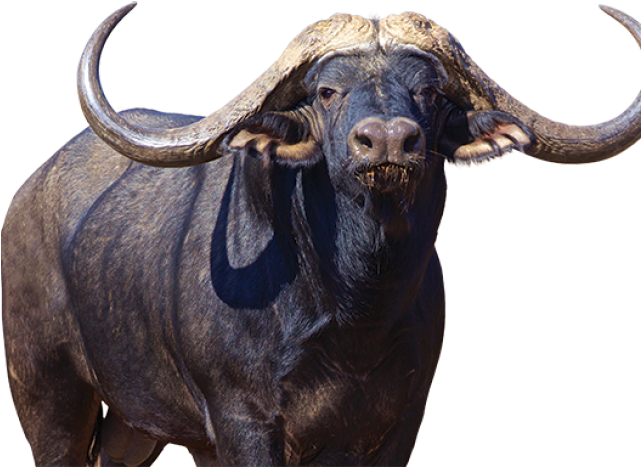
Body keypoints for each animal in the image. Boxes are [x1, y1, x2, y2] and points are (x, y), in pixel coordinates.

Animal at [3, 3, 640, 467]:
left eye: (430, 91)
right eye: (327, 91)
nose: (388, 141)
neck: (353, 312)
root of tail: (28, 194)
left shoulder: (398, 425)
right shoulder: (243, 423)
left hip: (135, 426)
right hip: (47, 396)